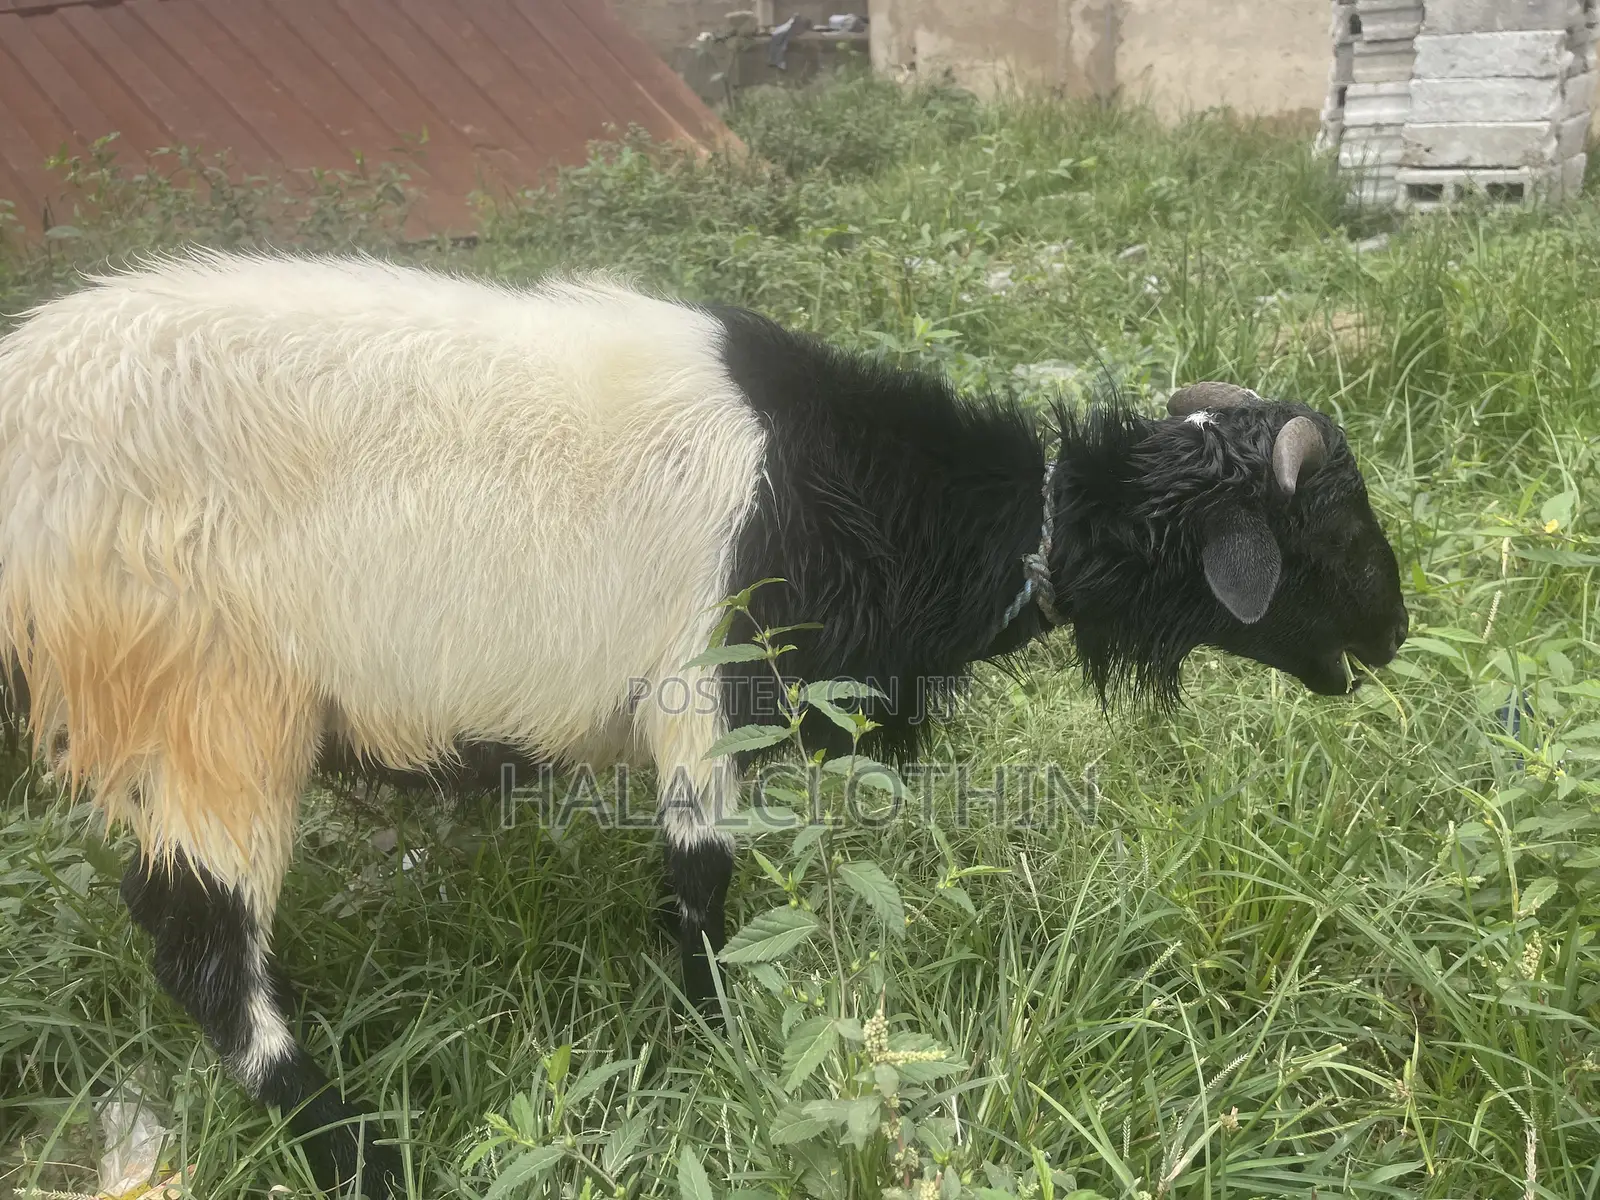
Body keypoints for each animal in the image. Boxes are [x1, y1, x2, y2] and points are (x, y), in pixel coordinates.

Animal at [0, 252, 1408, 1197]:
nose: (1393, 638)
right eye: (1326, 527)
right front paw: (714, 1055)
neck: (858, 499)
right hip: (208, 703)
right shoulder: (702, 697)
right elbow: (701, 886)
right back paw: (351, 1146)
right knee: (199, 938)